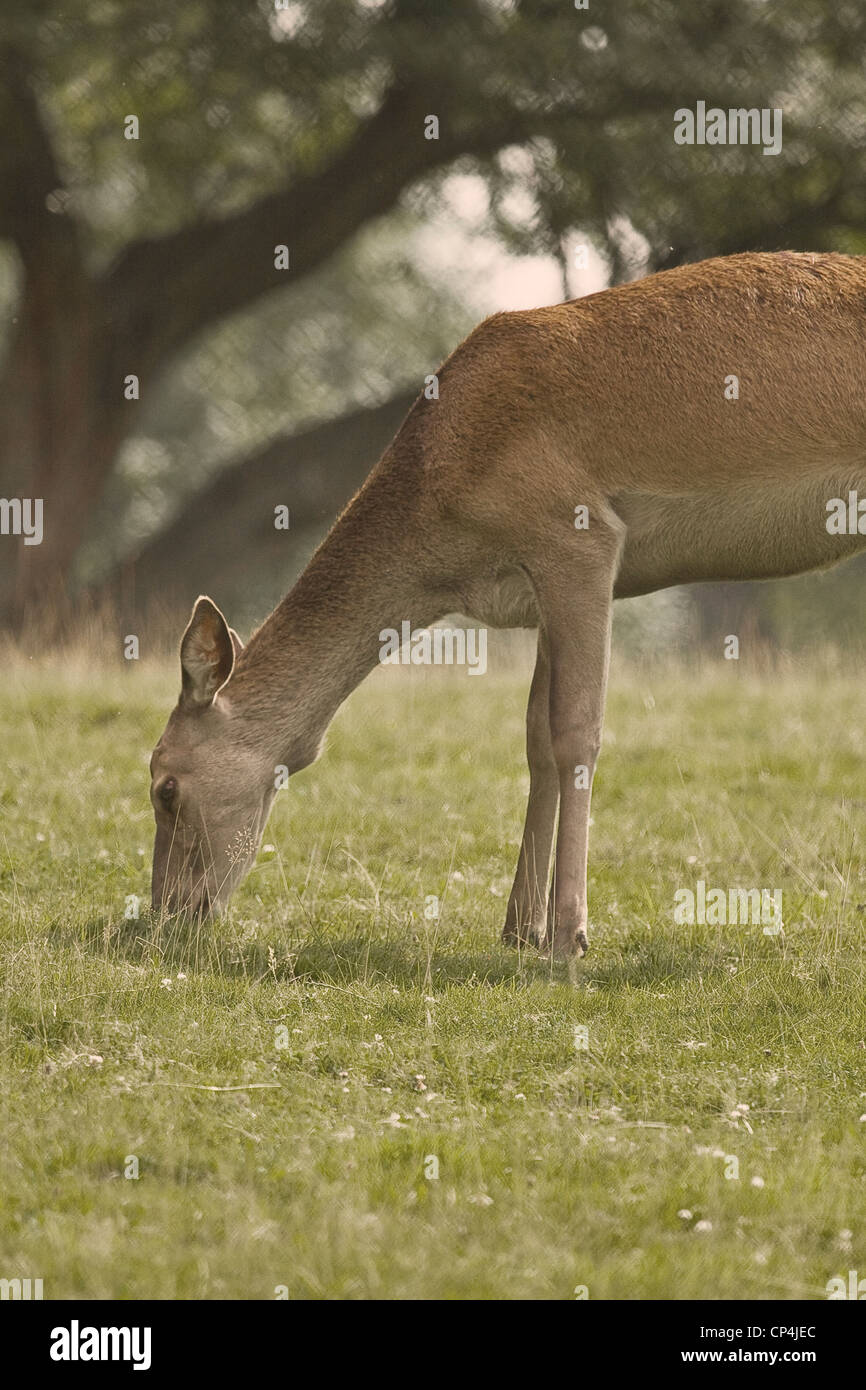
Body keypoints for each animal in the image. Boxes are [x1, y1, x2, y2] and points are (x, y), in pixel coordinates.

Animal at [150, 250, 866, 957]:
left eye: (164, 786)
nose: (163, 917)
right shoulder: (541, 582)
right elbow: (536, 735)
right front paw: (520, 928)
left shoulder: (579, 538)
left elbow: (578, 730)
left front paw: (570, 936)